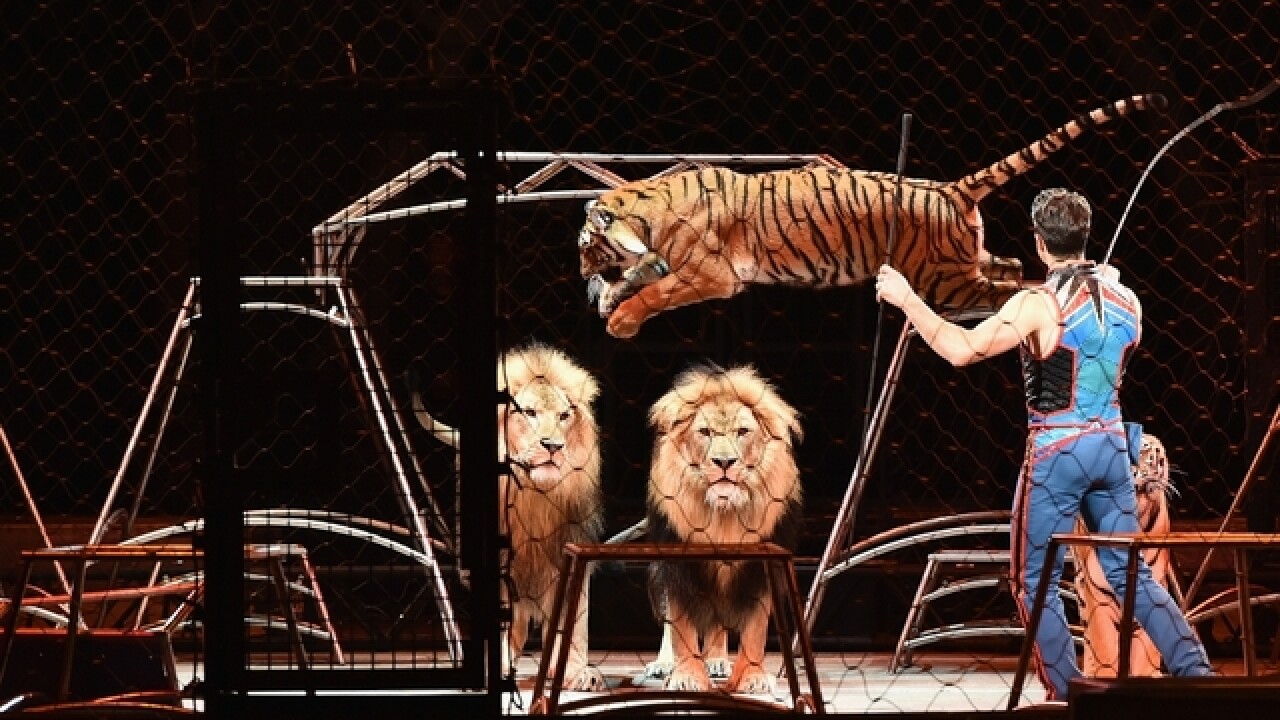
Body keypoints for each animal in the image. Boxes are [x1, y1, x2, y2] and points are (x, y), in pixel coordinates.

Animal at [578, 94, 1166, 338]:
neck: (650, 212)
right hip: (966, 259)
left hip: (943, 277)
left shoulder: (710, 275)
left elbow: (656, 292)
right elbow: (639, 277)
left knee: (1009, 290)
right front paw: (609, 299)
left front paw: (621, 320)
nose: (582, 275)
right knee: (1015, 267)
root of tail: (952, 189)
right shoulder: (665, 260)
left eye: (586, 246)